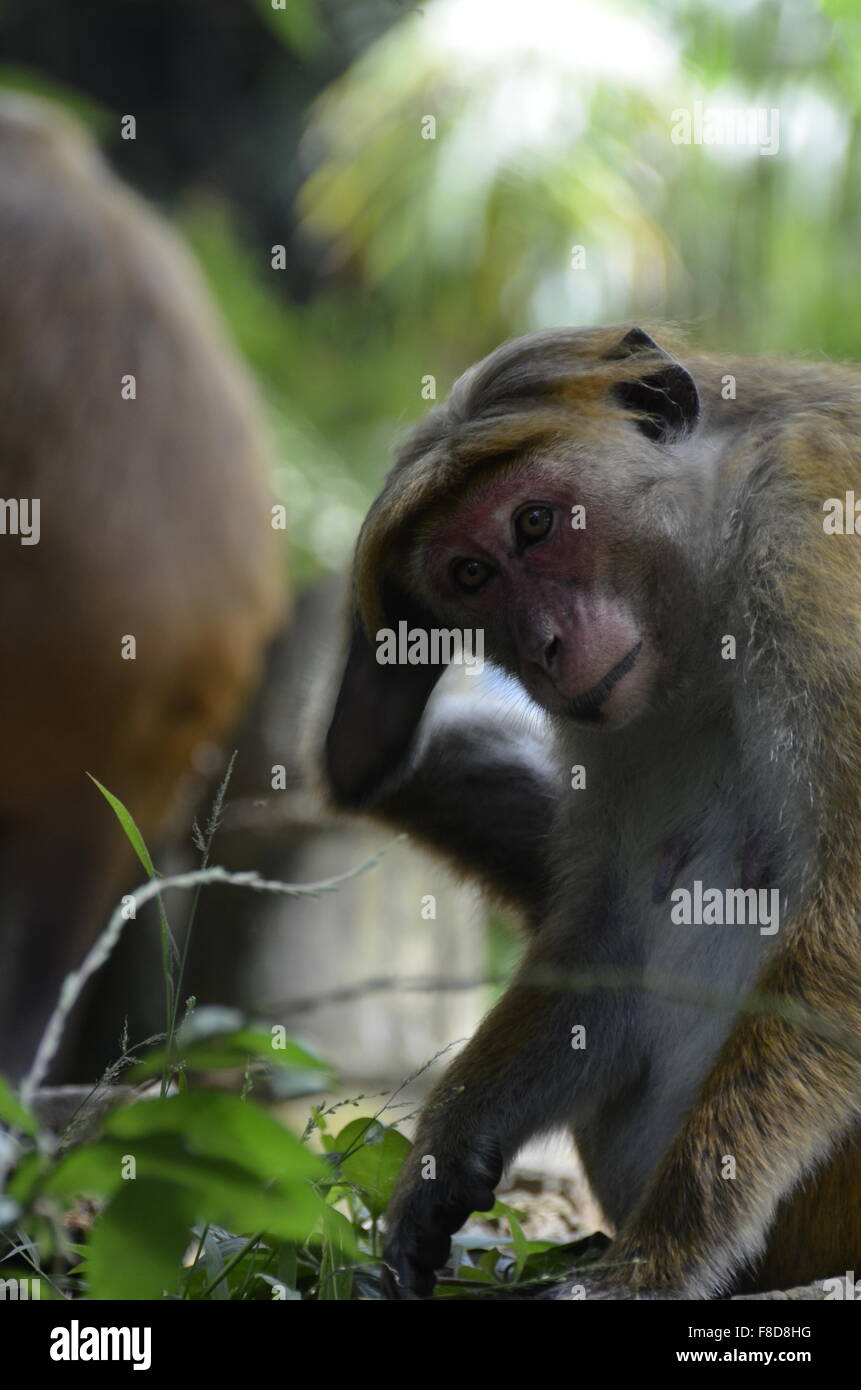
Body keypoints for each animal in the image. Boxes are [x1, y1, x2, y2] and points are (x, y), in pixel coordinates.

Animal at [321, 322, 861, 1299]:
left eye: (534, 524)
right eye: (469, 574)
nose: (543, 646)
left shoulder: (815, 532)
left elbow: (848, 910)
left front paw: (663, 1253)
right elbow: (606, 932)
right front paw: (448, 1151)